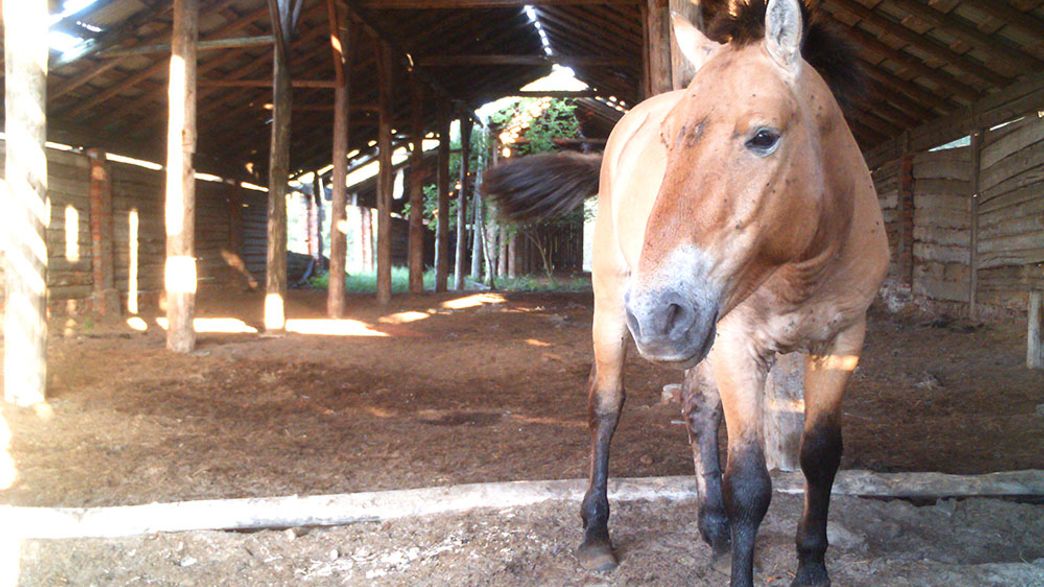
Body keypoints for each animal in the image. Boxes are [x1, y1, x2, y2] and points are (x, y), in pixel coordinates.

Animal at [484, 1, 888, 585]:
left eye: (763, 136)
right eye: (670, 138)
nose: (657, 314)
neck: (803, 265)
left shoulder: (840, 344)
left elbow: (819, 456)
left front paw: (811, 566)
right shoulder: (741, 347)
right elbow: (749, 484)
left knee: (697, 410)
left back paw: (714, 531)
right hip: (616, 310)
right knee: (605, 406)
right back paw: (597, 535)